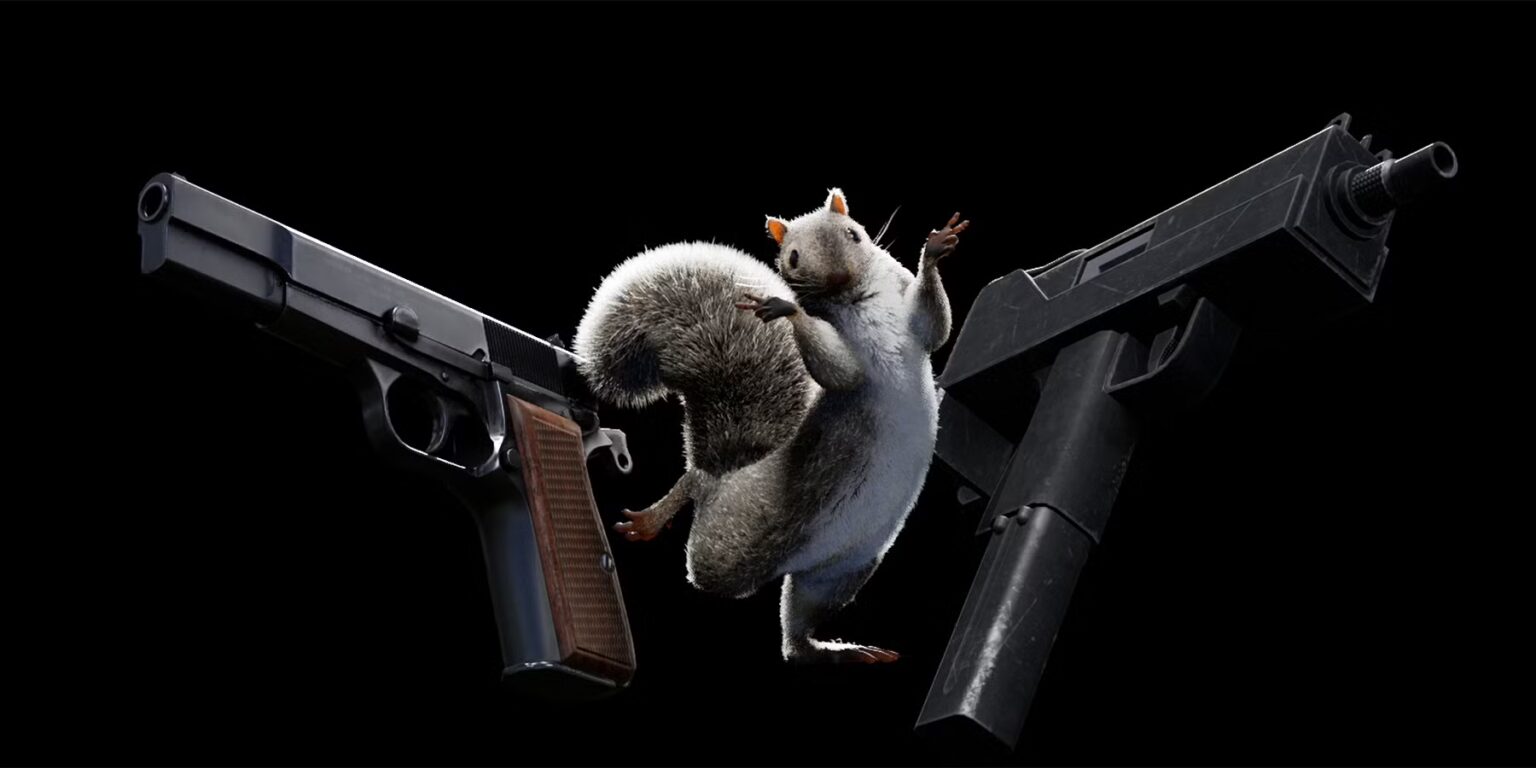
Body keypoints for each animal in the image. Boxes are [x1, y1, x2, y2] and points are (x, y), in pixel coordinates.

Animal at [572, 188, 968, 664]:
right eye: (793, 257)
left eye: (853, 234)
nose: (838, 276)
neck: (860, 300)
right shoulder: (847, 356)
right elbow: (842, 372)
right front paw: (785, 308)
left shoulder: (910, 311)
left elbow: (936, 326)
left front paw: (937, 247)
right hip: (729, 545)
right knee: (699, 498)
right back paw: (655, 518)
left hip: (834, 574)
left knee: (796, 635)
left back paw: (838, 650)